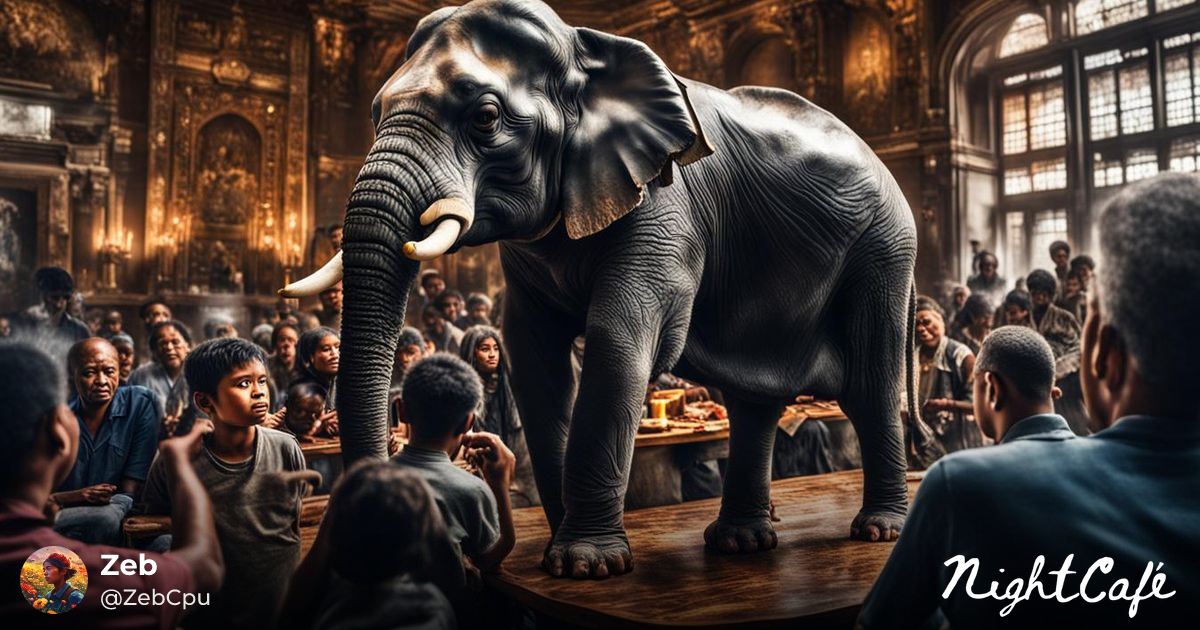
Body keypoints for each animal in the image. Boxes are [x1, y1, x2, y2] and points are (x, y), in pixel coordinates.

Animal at [282, 0, 918, 579]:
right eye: (374, 112)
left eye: (485, 117)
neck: (582, 48)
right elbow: (532, 353)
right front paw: (560, 555)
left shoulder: (664, 202)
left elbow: (618, 338)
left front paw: (585, 565)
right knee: (753, 398)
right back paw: (739, 543)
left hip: (883, 248)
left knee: (870, 382)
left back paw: (878, 530)